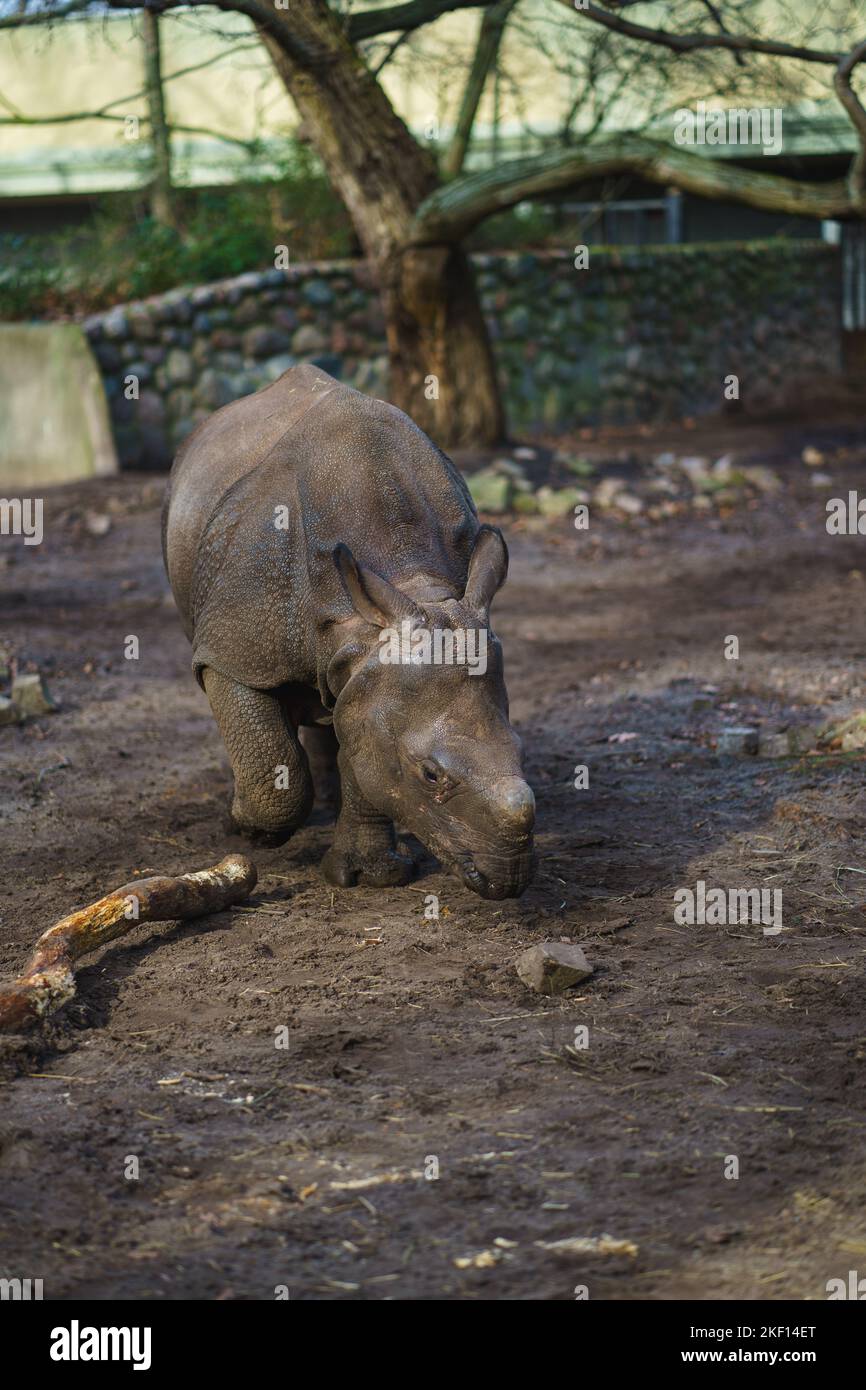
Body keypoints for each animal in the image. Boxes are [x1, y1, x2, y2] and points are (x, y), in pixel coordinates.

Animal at [162, 364, 534, 899]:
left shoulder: (372, 660)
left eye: (522, 750)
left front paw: (369, 877)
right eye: (430, 775)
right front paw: (250, 829)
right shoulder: (234, 648)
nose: (509, 880)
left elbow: (363, 740)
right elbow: (275, 770)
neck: (410, 581)